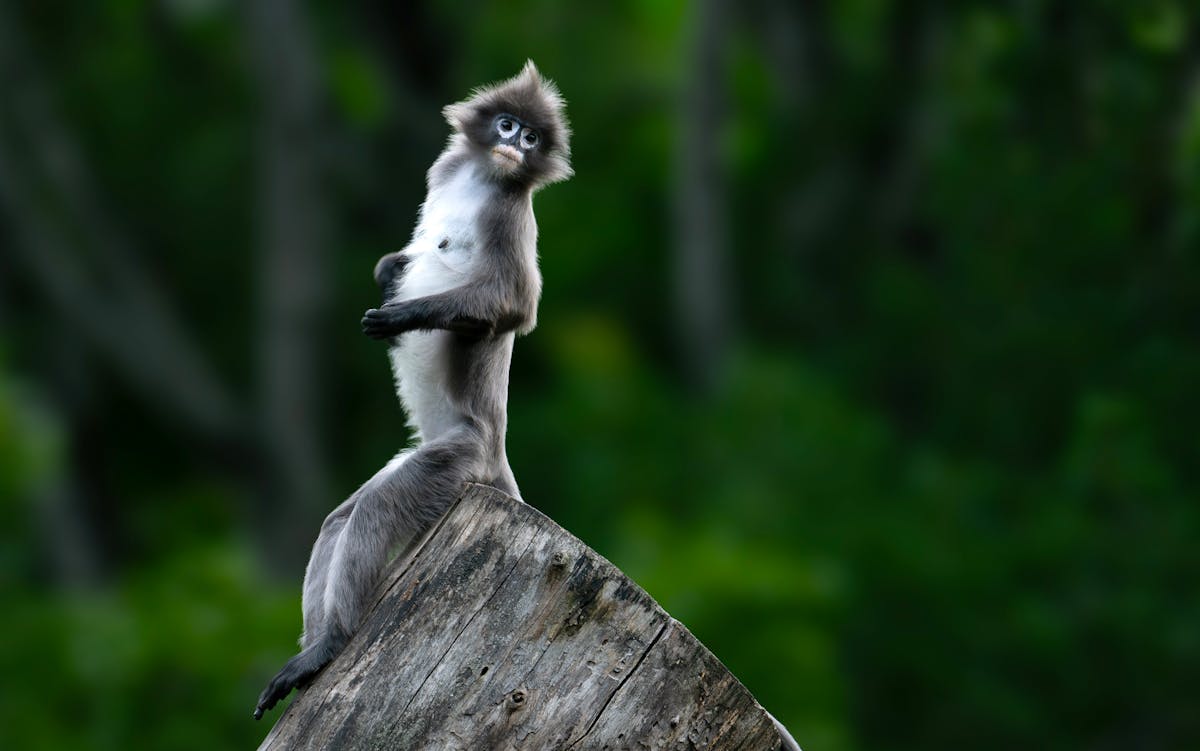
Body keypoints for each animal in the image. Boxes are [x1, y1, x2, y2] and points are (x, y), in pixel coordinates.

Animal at [254, 61, 571, 720]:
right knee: (340, 519)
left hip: (454, 462)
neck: (483, 178)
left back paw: (329, 644)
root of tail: (494, 454)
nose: (515, 144)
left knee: (376, 509)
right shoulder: (443, 170)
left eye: (532, 138)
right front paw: (390, 272)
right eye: (508, 125)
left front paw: (404, 314)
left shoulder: (511, 215)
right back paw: (314, 649)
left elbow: (515, 308)